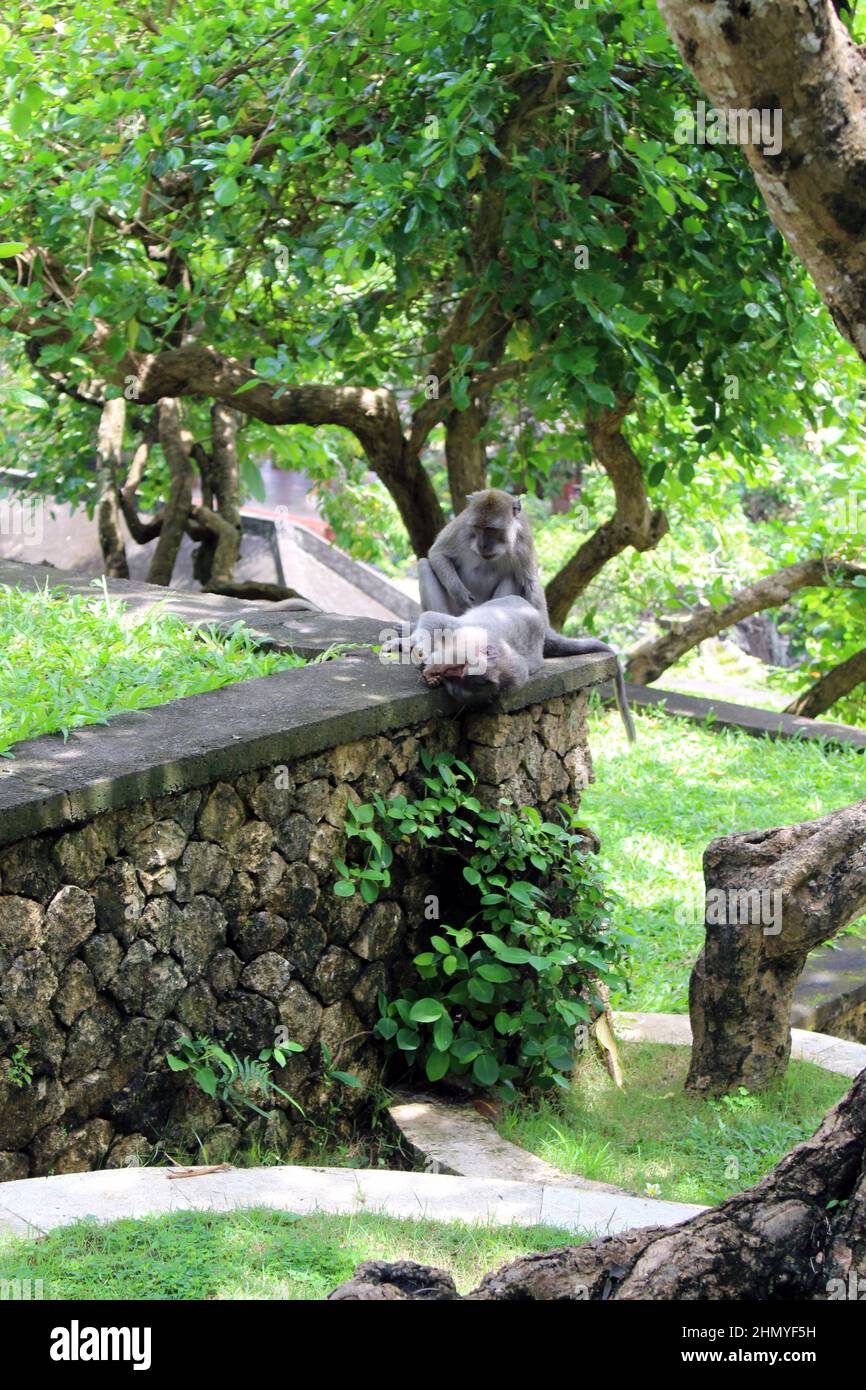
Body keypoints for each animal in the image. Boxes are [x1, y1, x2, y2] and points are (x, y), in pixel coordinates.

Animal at [403, 595, 636, 740]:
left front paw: (431, 673)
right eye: (458, 668)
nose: (443, 674)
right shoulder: (461, 630)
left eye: (456, 677)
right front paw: (419, 649)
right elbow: (432, 619)